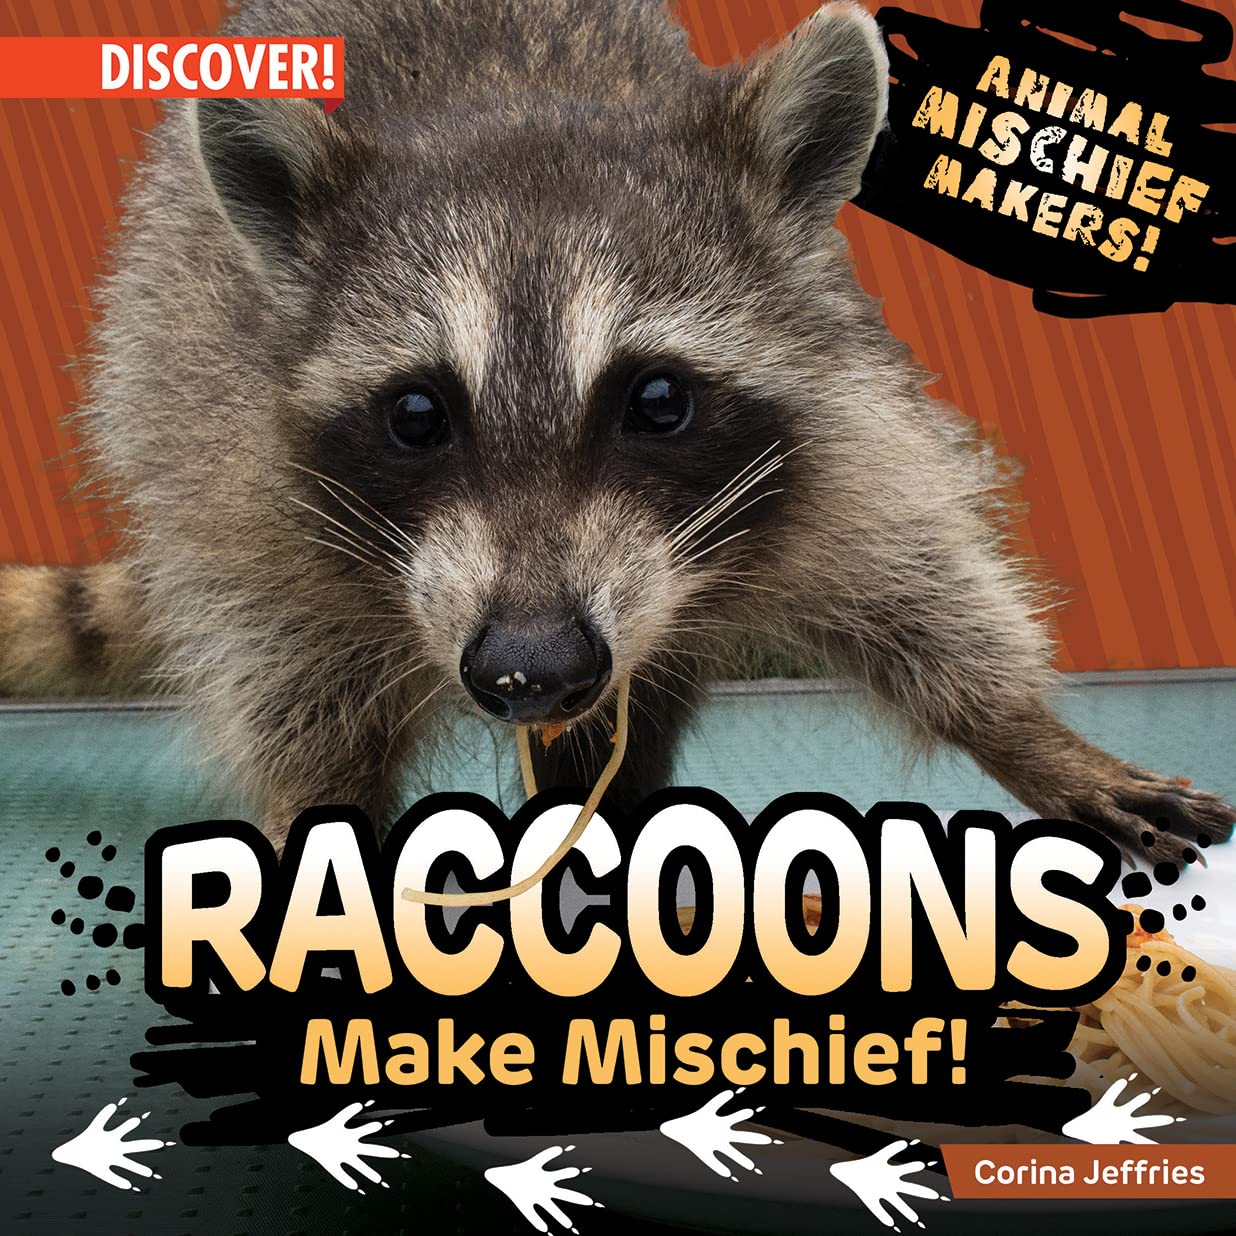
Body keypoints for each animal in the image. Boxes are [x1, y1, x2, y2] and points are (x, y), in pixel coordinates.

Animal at [1, 0, 1231, 862]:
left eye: (657, 401)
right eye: (416, 415)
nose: (533, 670)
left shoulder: (836, 414)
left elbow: (915, 581)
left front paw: (1020, 726)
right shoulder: (238, 466)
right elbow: (294, 690)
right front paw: (323, 837)